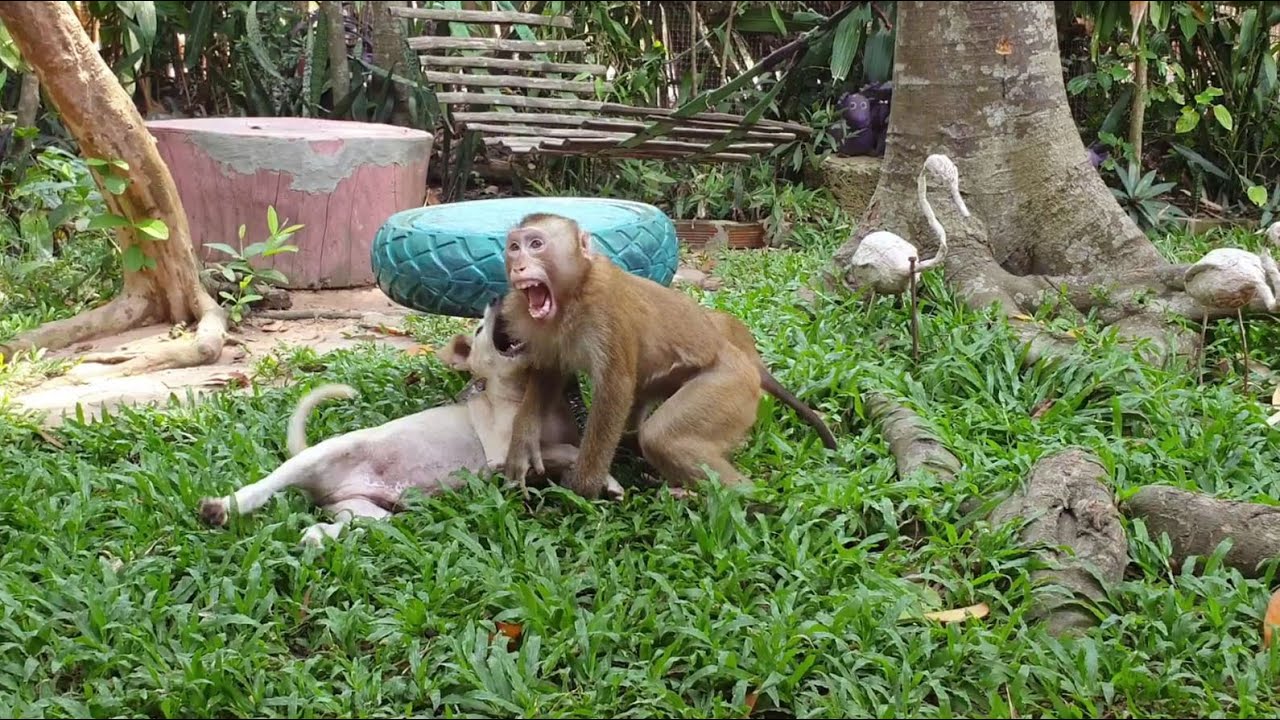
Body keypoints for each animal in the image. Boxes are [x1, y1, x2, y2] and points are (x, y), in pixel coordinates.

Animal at [500, 212, 838, 500]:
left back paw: (741, 497)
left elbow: (615, 389)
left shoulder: (605, 311)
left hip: (731, 384)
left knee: (662, 437)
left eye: (536, 244)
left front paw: (583, 488)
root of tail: (735, 352)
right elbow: (549, 372)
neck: (573, 294)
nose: (518, 266)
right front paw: (523, 444)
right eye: (514, 247)